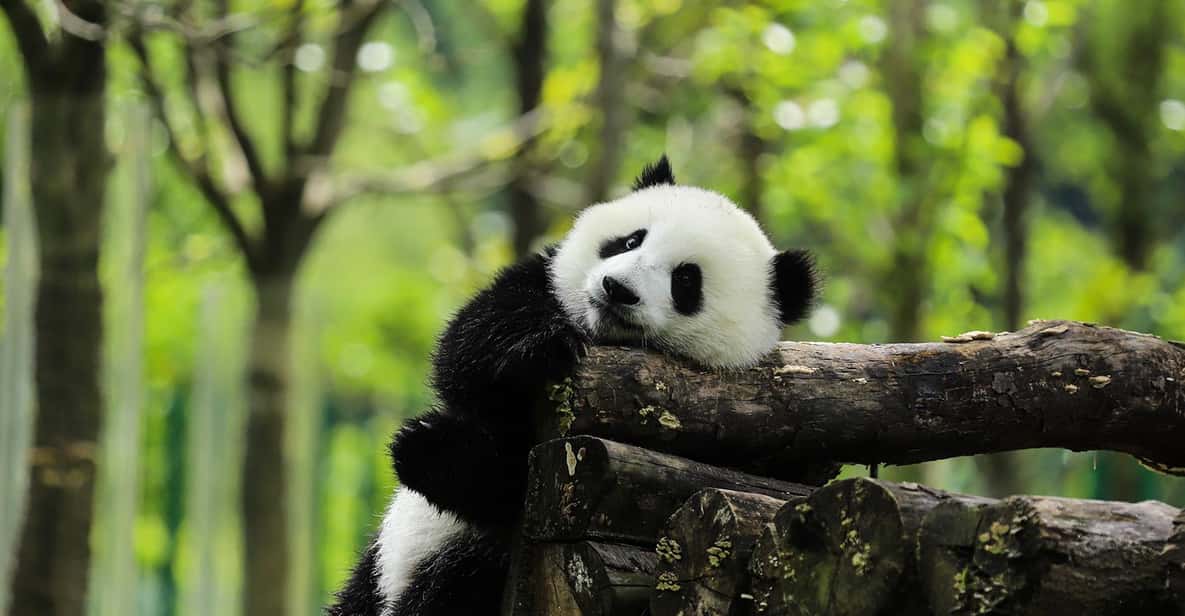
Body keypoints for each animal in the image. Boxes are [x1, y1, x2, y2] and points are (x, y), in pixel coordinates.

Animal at [327, 156, 818, 616]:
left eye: (685, 279)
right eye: (630, 240)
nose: (617, 288)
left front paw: (448, 454)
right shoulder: (545, 286)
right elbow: (468, 351)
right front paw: (539, 350)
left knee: (459, 578)